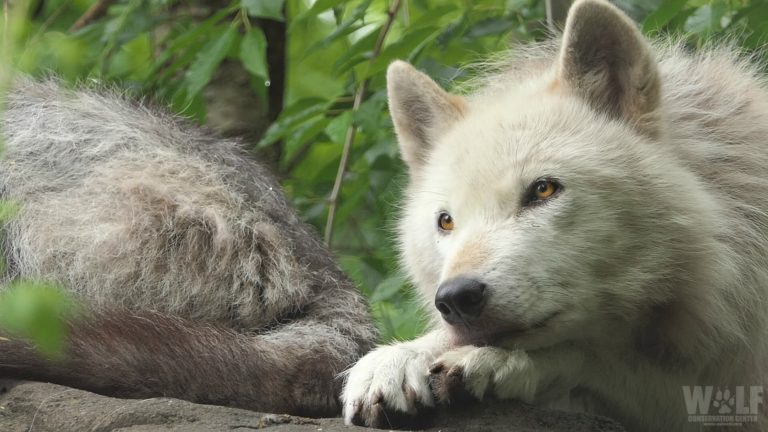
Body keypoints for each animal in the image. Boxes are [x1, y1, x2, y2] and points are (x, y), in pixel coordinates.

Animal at [342, 0, 768, 430]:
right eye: (446, 221)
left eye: (543, 190)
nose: (456, 298)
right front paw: (399, 357)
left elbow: (591, 357)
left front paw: (494, 361)